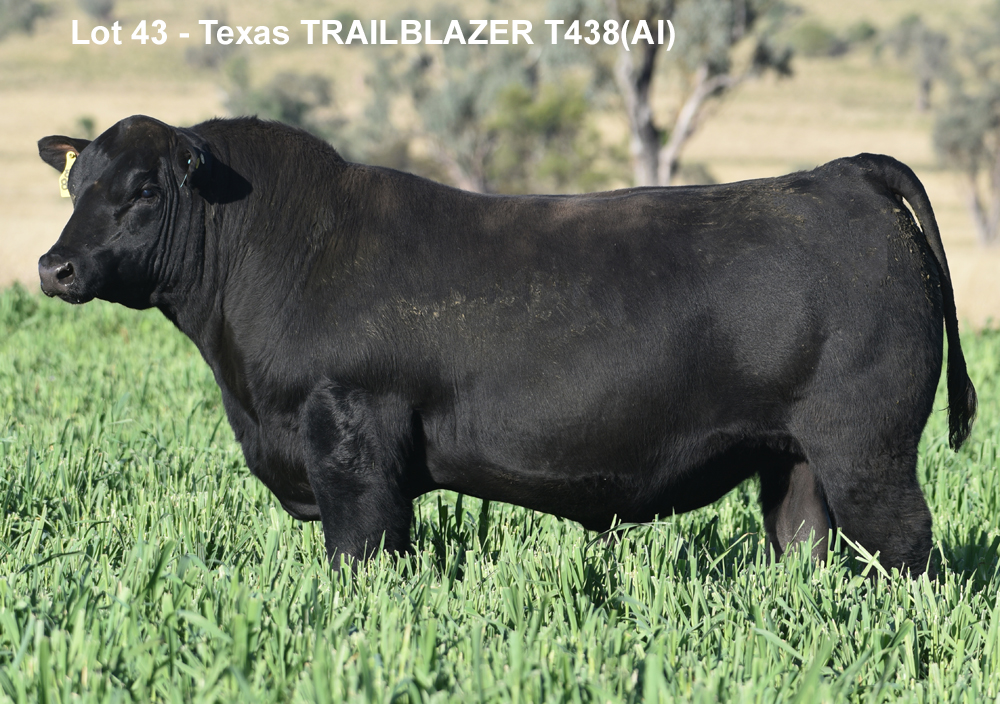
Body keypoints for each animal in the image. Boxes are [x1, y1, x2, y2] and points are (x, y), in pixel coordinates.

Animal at [37, 115, 976, 575]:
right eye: (77, 185)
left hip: (867, 448)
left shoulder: (350, 434)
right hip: (795, 460)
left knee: (905, 550)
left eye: (144, 188)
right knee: (806, 547)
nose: (53, 265)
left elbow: (360, 554)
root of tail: (837, 173)